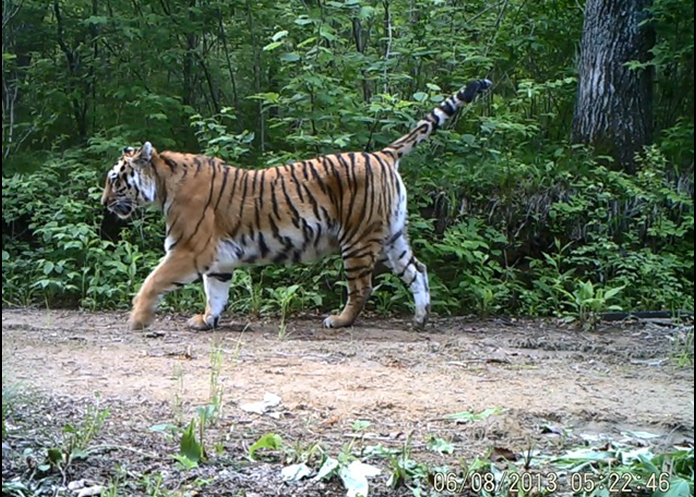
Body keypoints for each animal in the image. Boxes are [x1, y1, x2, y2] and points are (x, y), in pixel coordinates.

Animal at [101, 79, 492, 331]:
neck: (163, 184)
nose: (104, 203)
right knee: (418, 270)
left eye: (115, 179)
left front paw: (137, 319)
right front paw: (207, 320)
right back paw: (421, 319)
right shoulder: (218, 258)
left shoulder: (188, 249)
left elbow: (152, 280)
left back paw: (339, 320)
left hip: (357, 239)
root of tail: (382, 154)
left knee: (362, 288)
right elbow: (216, 291)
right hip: (393, 236)